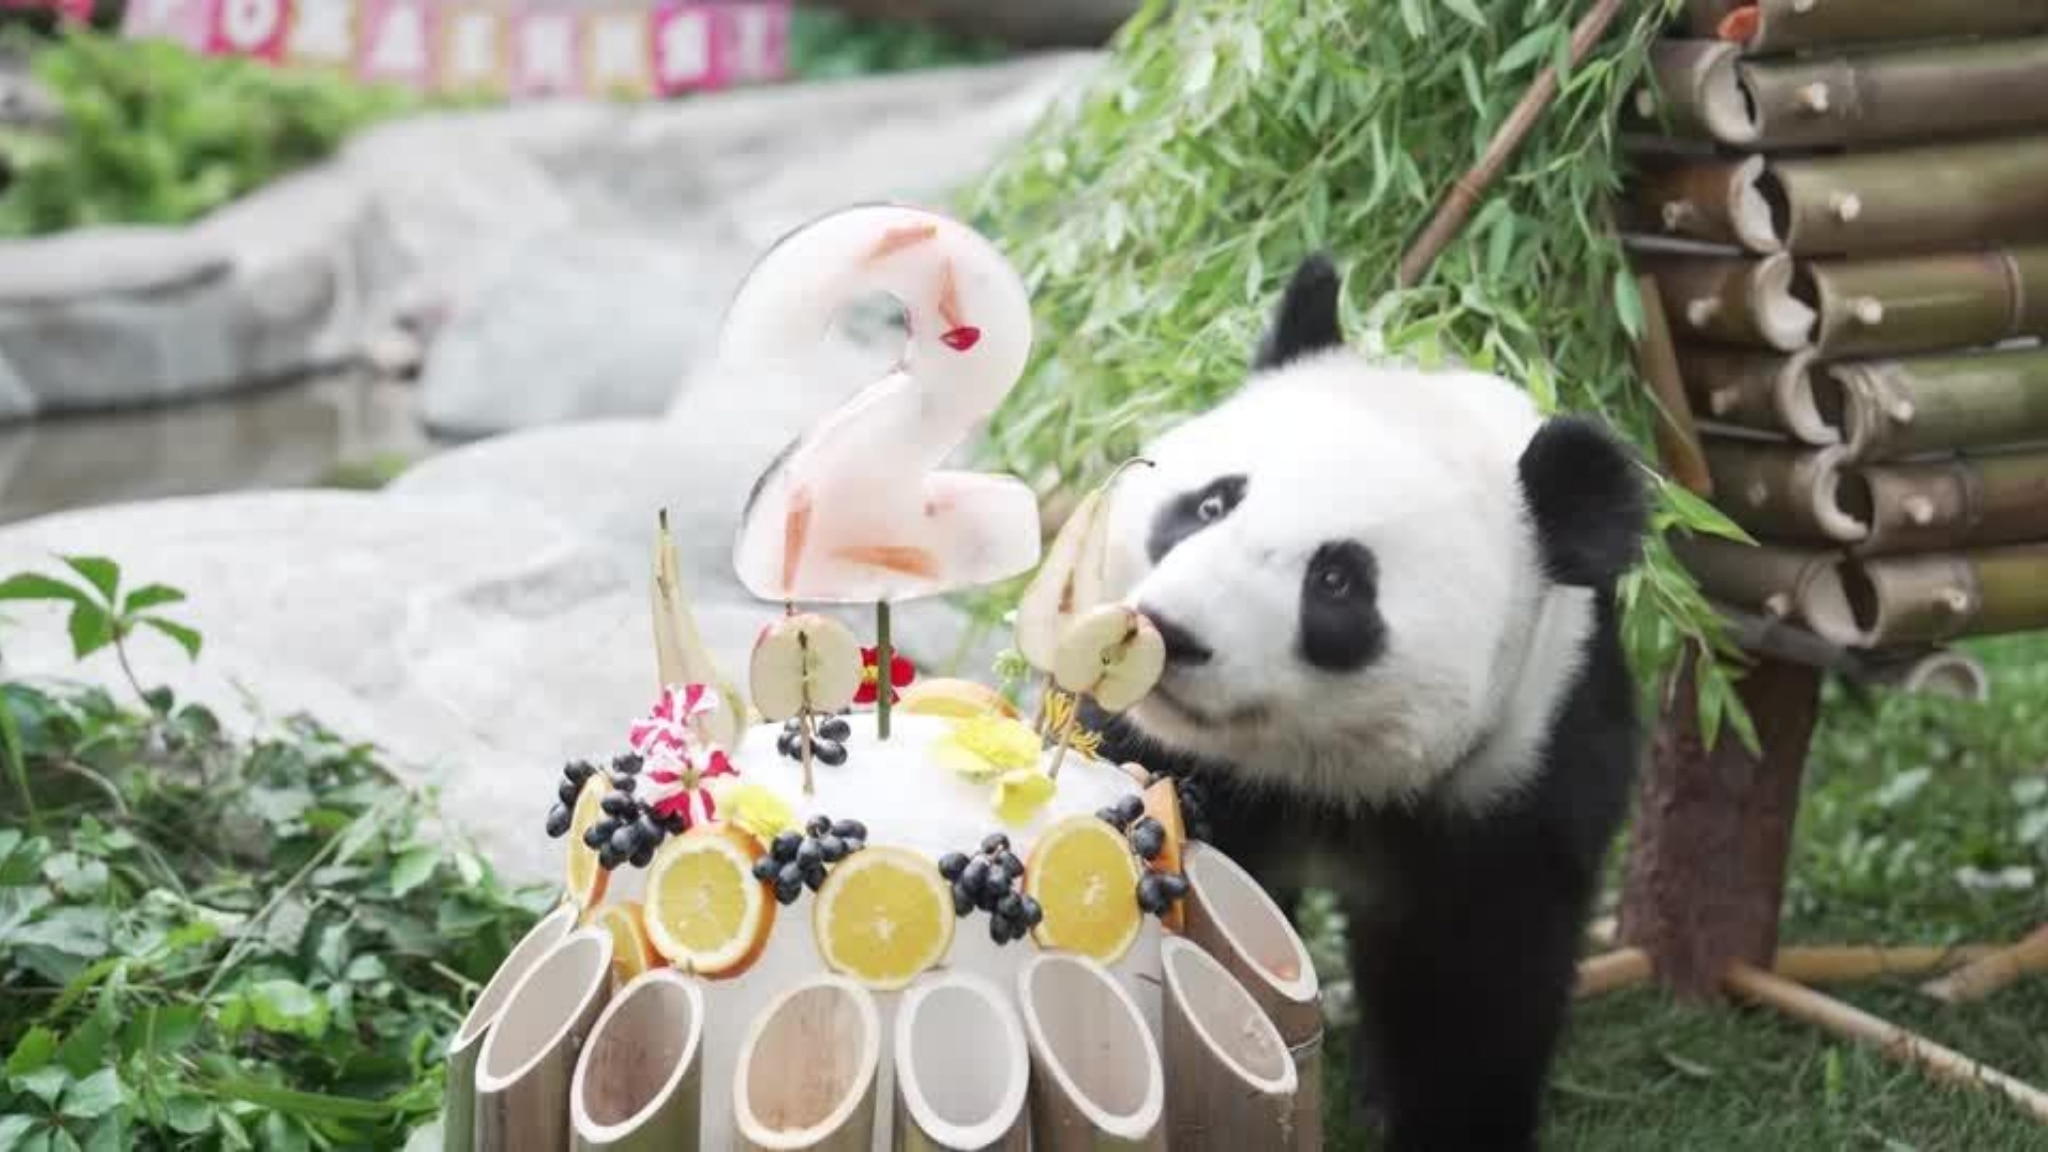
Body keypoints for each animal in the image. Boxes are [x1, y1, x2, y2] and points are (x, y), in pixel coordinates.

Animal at [1089, 253, 1649, 1152]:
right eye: (1211, 503)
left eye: (1337, 580)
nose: (1173, 635)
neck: (1327, 771)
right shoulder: (1152, 741)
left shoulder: (1528, 761)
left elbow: (1479, 978)